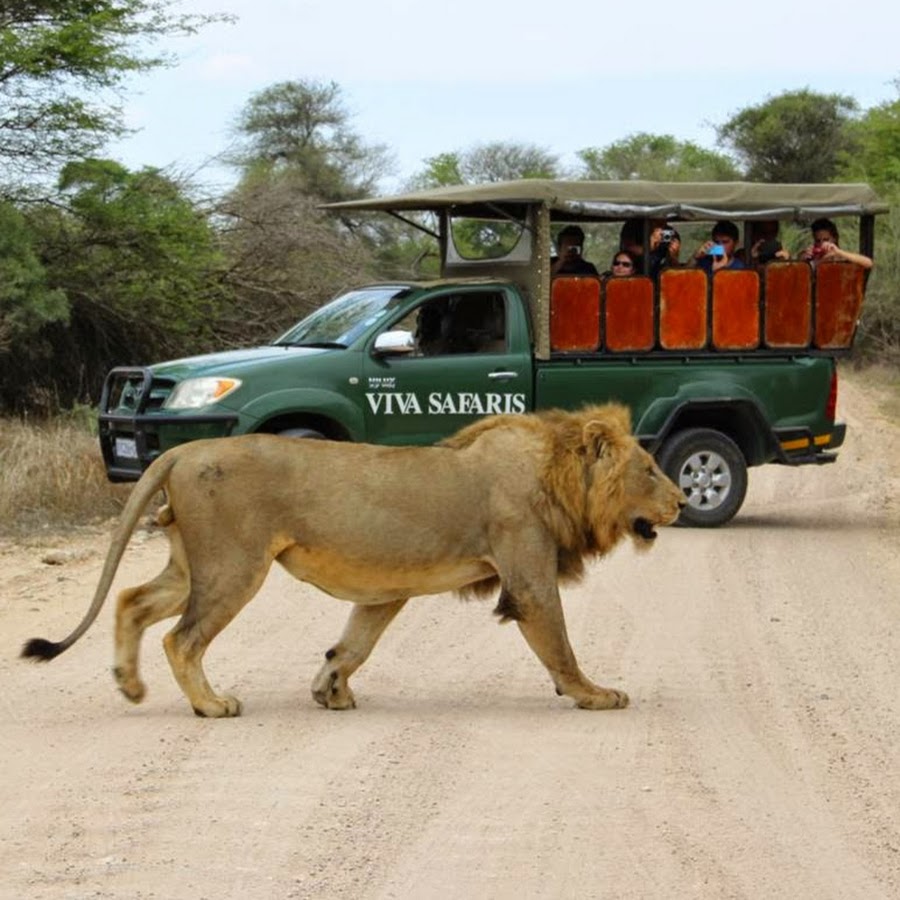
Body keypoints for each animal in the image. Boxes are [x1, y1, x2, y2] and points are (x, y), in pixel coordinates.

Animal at [21, 402, 684, 716]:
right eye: (650, 469)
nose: (681, 500)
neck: (554, 472)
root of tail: (185, 450)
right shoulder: (527, 575)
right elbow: (561, 646)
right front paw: (595, 695)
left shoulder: (389, 588)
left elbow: (353, 643)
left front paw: (330, 691)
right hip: (234, 566)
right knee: (181, 638)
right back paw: (211, 705)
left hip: (194, 566)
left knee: (132, 601)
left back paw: (129, 685)